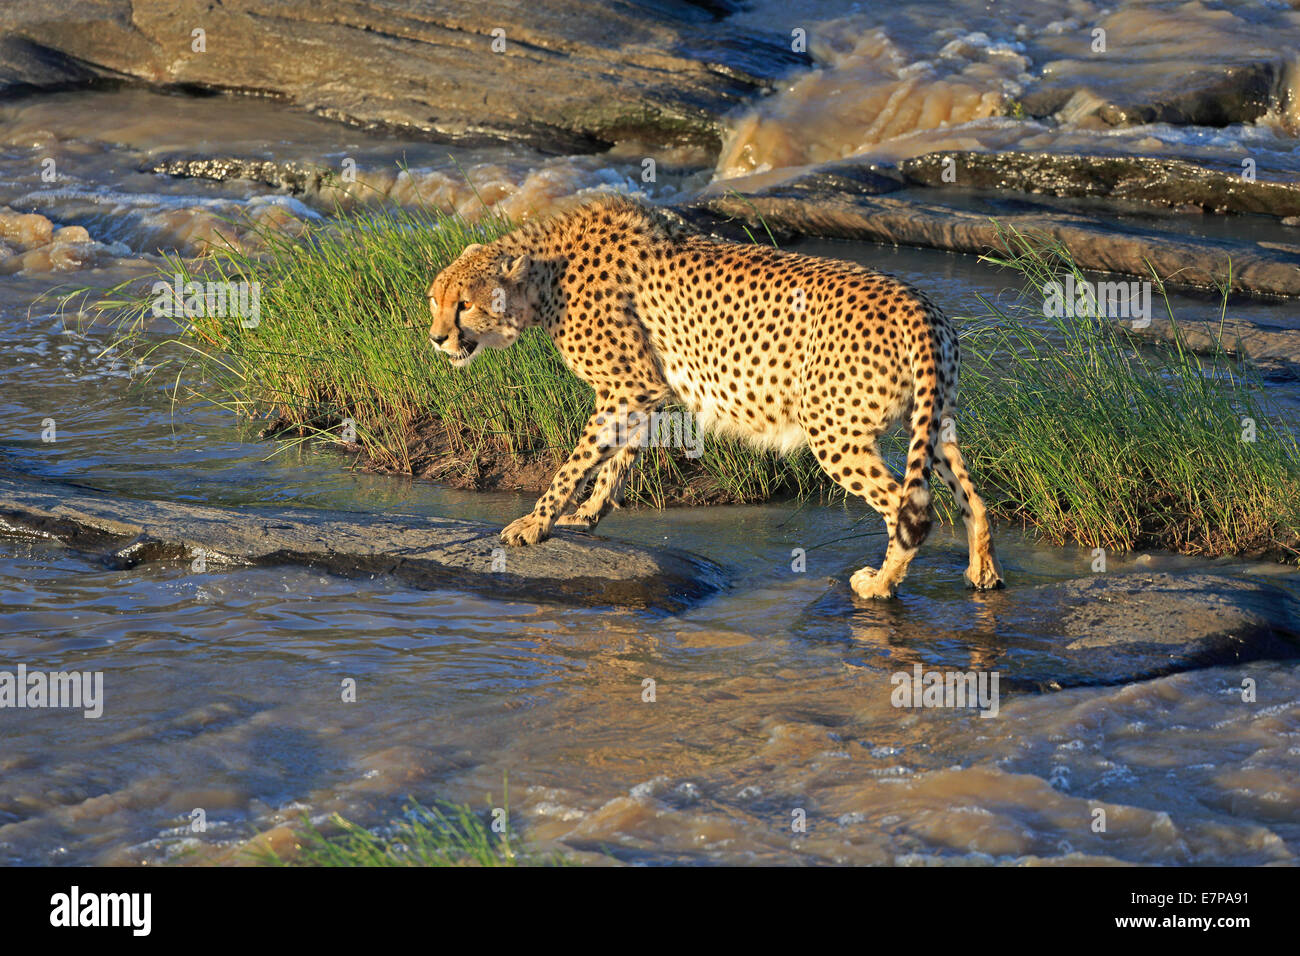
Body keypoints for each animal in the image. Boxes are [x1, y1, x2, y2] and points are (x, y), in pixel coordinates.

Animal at [426, 193, 1003, 599]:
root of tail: (919, 306)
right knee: (970, 497)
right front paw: (586, 515)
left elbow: (576, 462)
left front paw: (534, 523)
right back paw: (983, 574)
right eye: (435, 299)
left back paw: (880, 584)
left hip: (836, 434)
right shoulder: (644, 393)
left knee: (906, 512)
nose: (435, 338)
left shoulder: (627, 387)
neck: (546, 274)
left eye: (464, 305)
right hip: (933, 422)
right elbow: (616, 461)